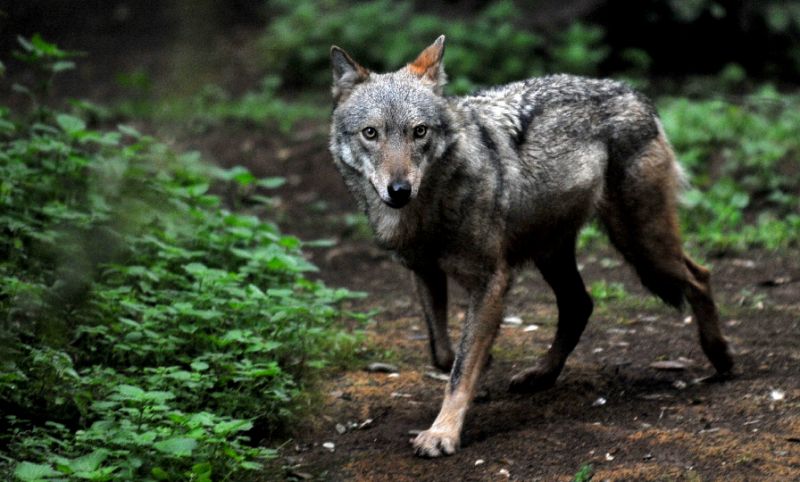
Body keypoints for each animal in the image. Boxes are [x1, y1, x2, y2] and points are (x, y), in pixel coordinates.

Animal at [328, 35, 733, 457]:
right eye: (371, 133)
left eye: (418, 132)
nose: (399, 190)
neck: (428, 212)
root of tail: (633, 92)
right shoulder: (424, 272)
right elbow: (443, 354)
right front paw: (480, 375)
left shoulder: (492, 281)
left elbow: (460, 368)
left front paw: (443, 432)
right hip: (556, 253)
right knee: (580, 304)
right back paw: (541, 375)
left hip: (642, 247)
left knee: (700, 276)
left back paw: (721, 357)